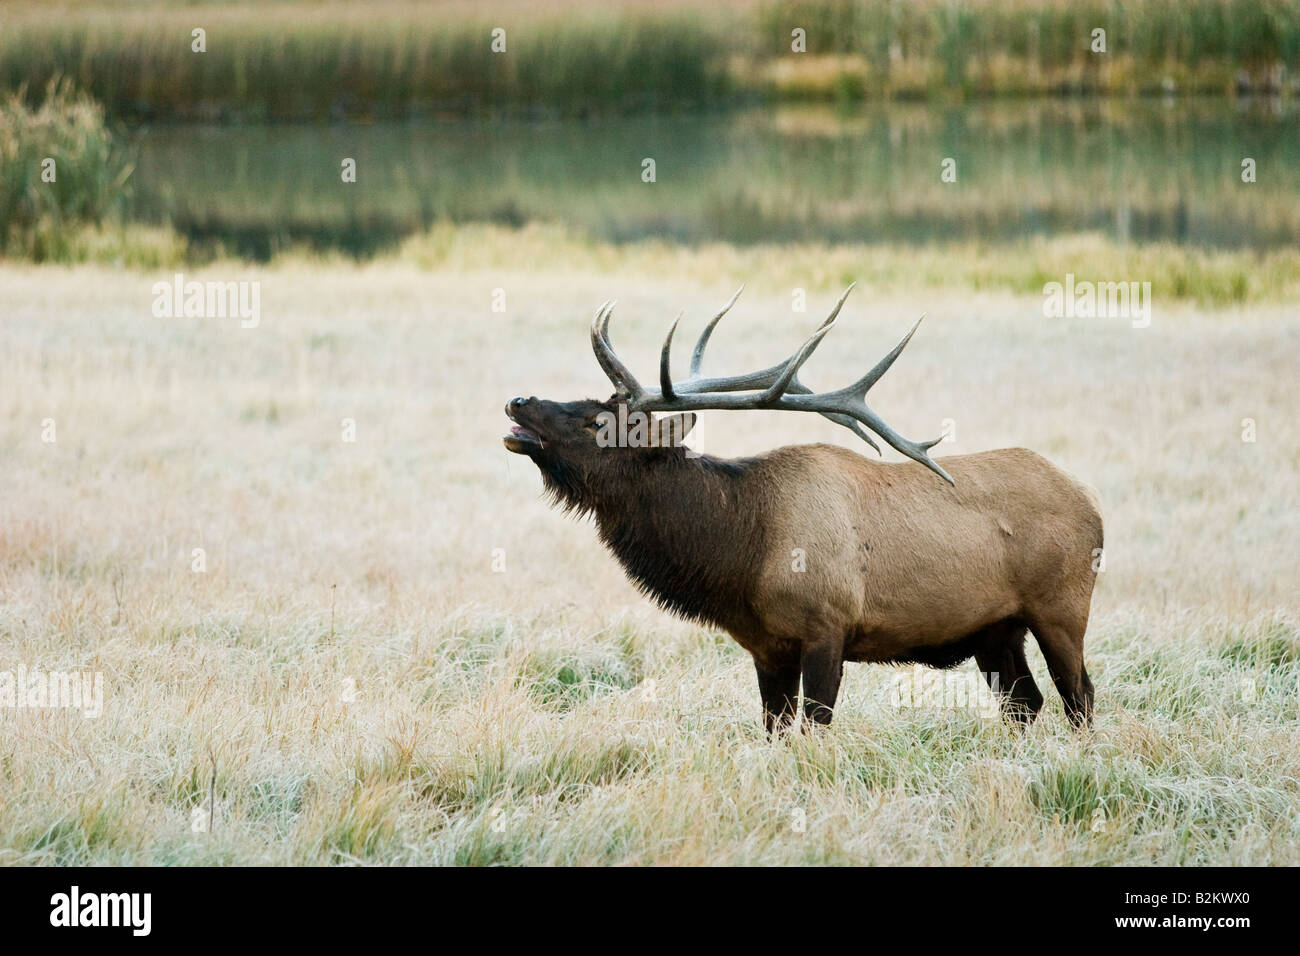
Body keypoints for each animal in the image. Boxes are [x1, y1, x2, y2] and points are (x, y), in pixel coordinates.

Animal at [504, 286, 1102, 733]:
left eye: (597, 420)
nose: (518, 400)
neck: (742, 552)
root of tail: (1091, 501)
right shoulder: (766, 647)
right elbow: (775, 729)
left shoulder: (827, 625)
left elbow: (814, 725)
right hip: (995, 630)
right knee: (1025, 703)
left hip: (1061, 607)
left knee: (1079, 696)